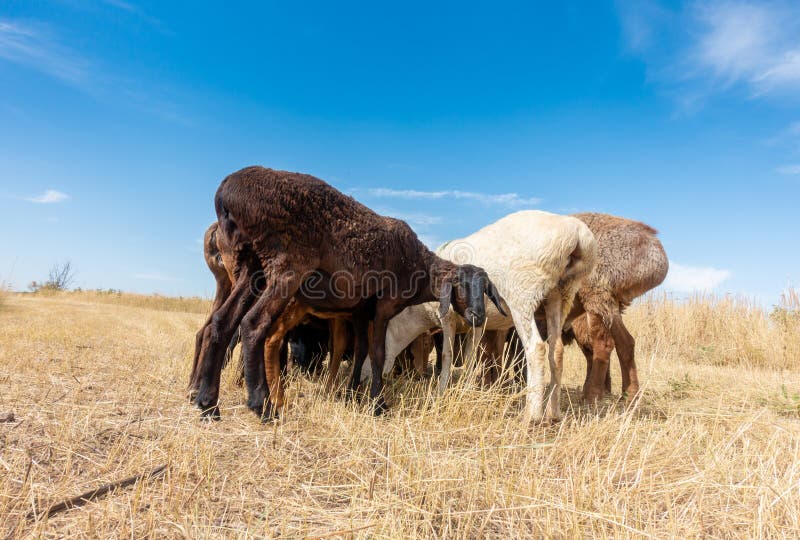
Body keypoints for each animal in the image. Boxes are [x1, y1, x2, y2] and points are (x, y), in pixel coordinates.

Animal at [193, 166, 505, 417]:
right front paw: (378, 405)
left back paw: (207, 404)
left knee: (220, 323)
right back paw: (263, 406)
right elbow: (378, 354)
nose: (478, 316)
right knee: (253, 325)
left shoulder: (359, 310)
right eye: (460, 285)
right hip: (286, 264)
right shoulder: (383, 307)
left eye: (486, 289)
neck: (418, 266)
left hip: (249, 265)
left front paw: (353, 394)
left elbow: (360, 350)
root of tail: (226, 193)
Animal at [360, 210, 597, 422]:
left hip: (523, 294)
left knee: (536, 348)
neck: (419, 312)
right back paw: (553, 413)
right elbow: (470, 358)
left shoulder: (447, 317)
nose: (363, 378)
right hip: (560, 295)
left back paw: (532, 416)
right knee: (556, 351)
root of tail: (577, 235)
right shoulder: (476, 324)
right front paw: (464, 389)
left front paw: (441, 391)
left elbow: (446, 355)